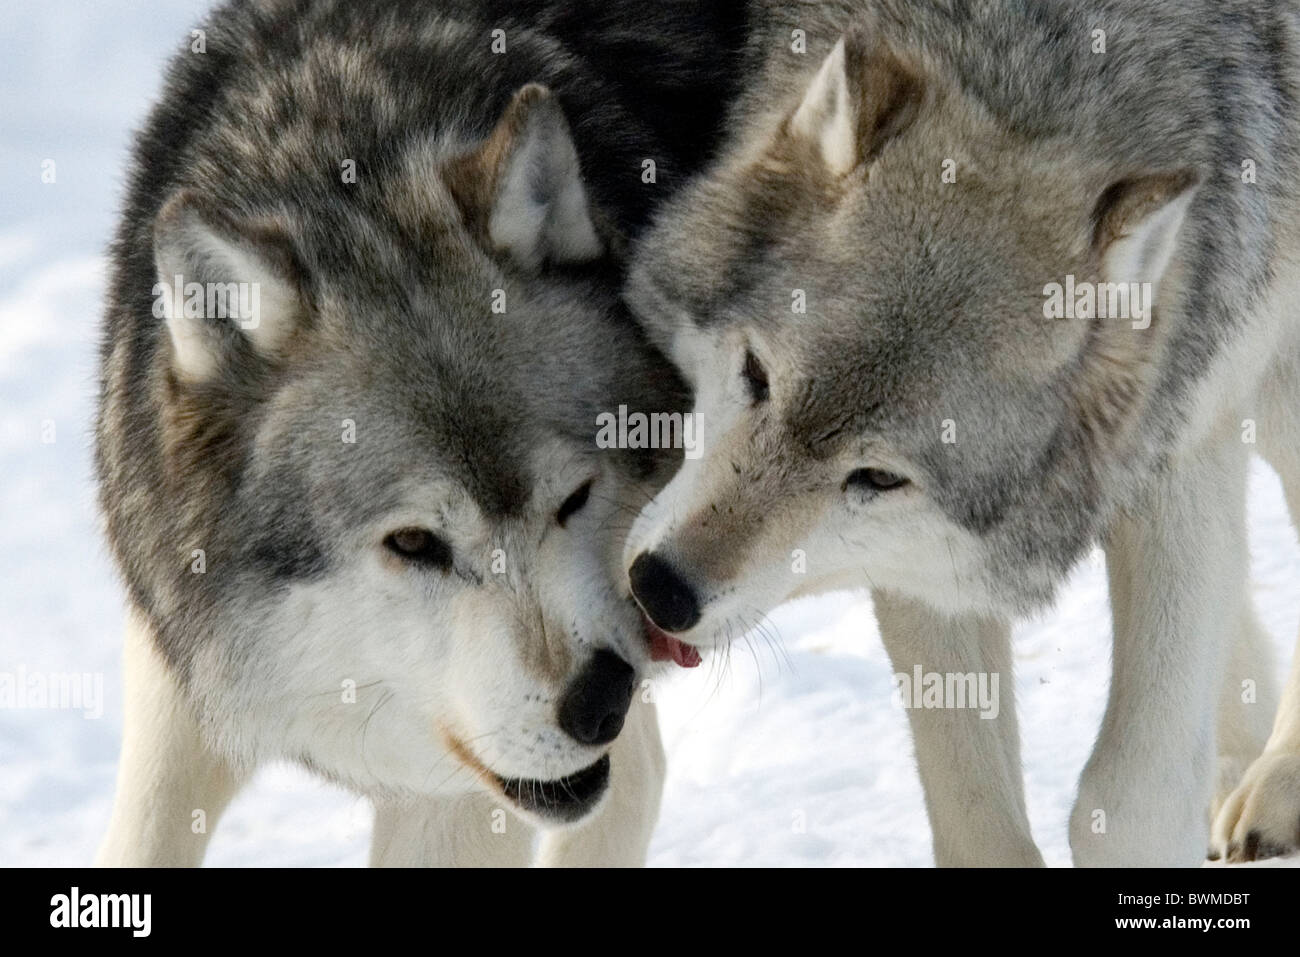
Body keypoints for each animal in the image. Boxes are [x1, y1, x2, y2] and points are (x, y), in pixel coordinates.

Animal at [94, 0, 746, 866]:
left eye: (575, 498)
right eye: (411, 543)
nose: (599, 700)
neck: (345, 138)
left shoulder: (460, 800)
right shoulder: (174, 687)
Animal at [625, 0, 1300, 866]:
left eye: (878, 477)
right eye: (756, 375)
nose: (661, 588)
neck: (1042, 68)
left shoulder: (1182, 445)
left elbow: (1128, 797)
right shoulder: (930, 564)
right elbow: (978, 818)